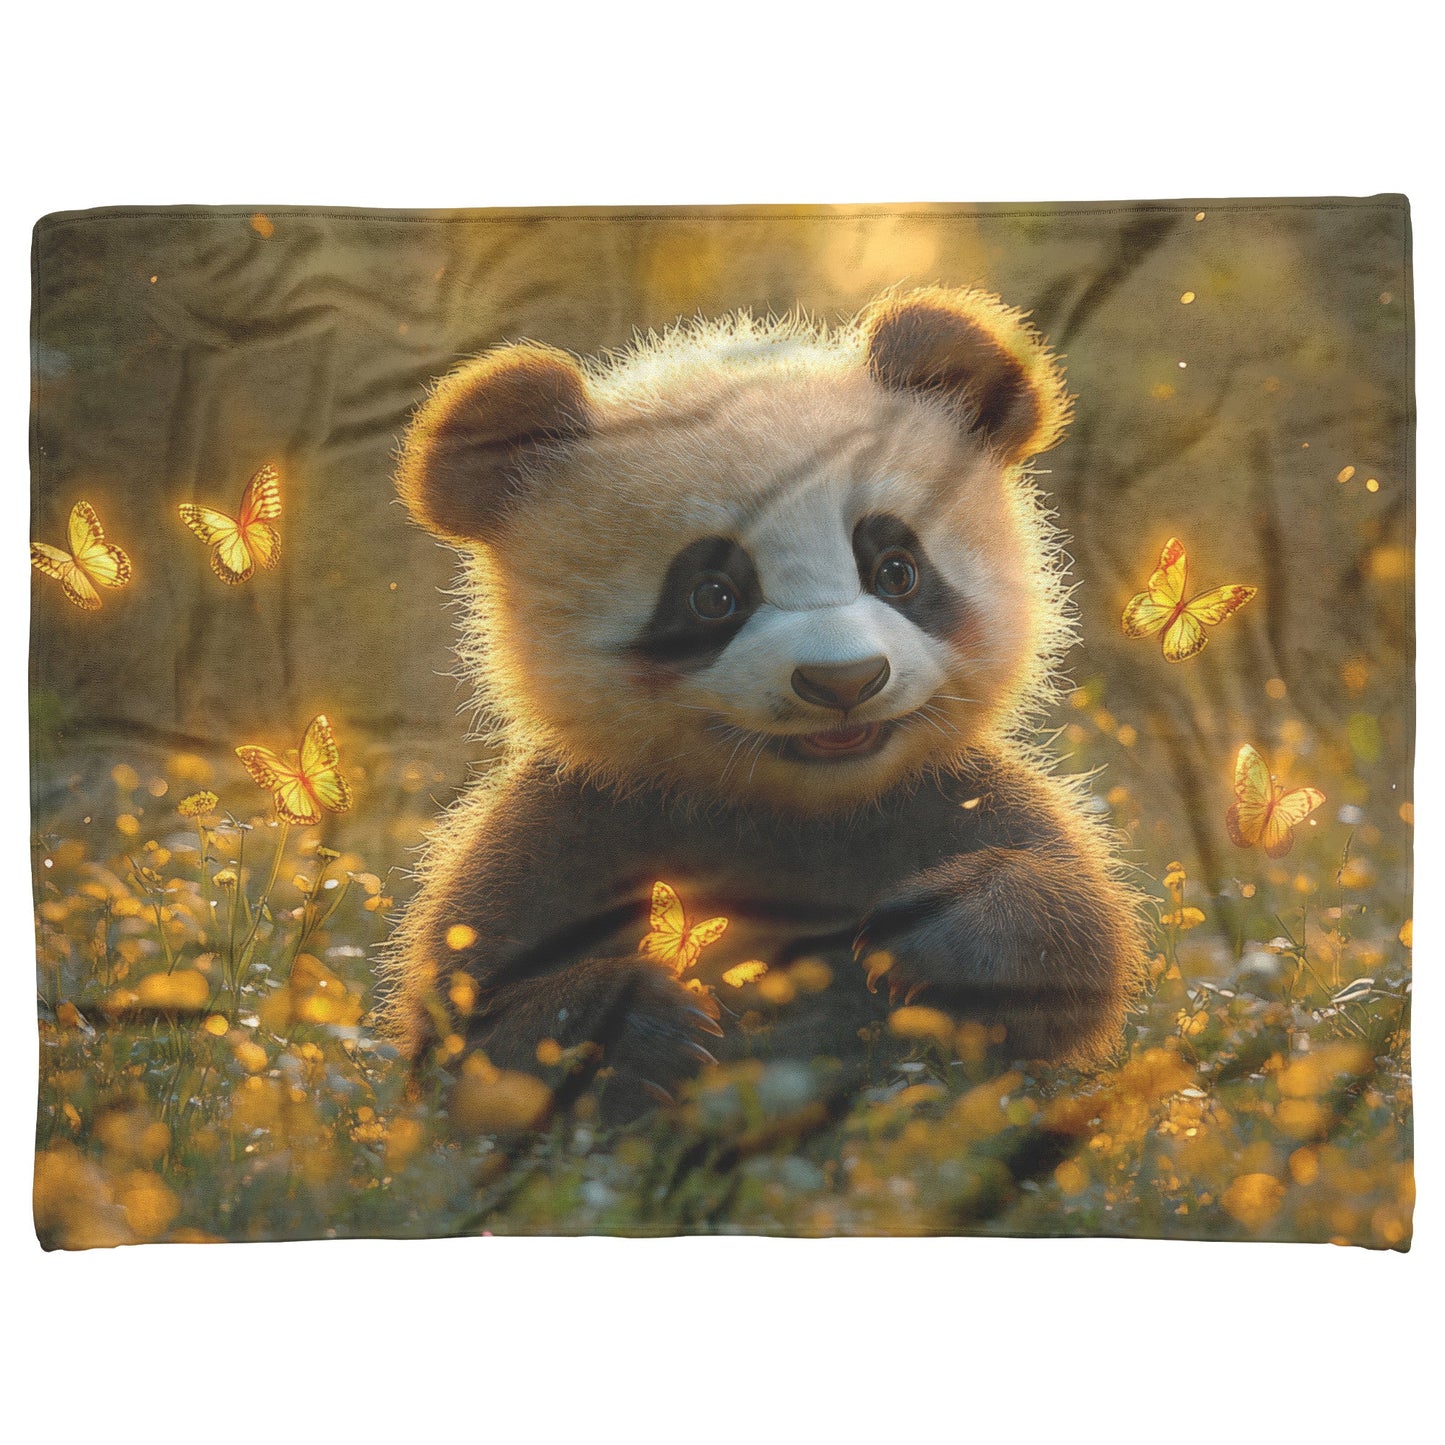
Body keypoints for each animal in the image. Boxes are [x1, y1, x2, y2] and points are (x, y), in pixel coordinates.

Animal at [382, 285, 1144, 1116]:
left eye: (895, 569)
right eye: (713, 594)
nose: (843, 681)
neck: (798, 808)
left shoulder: (944, 790)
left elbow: (1083, 936)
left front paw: (924, 933)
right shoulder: (587, 809)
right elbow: (465, 1027)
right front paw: (645, 1029)